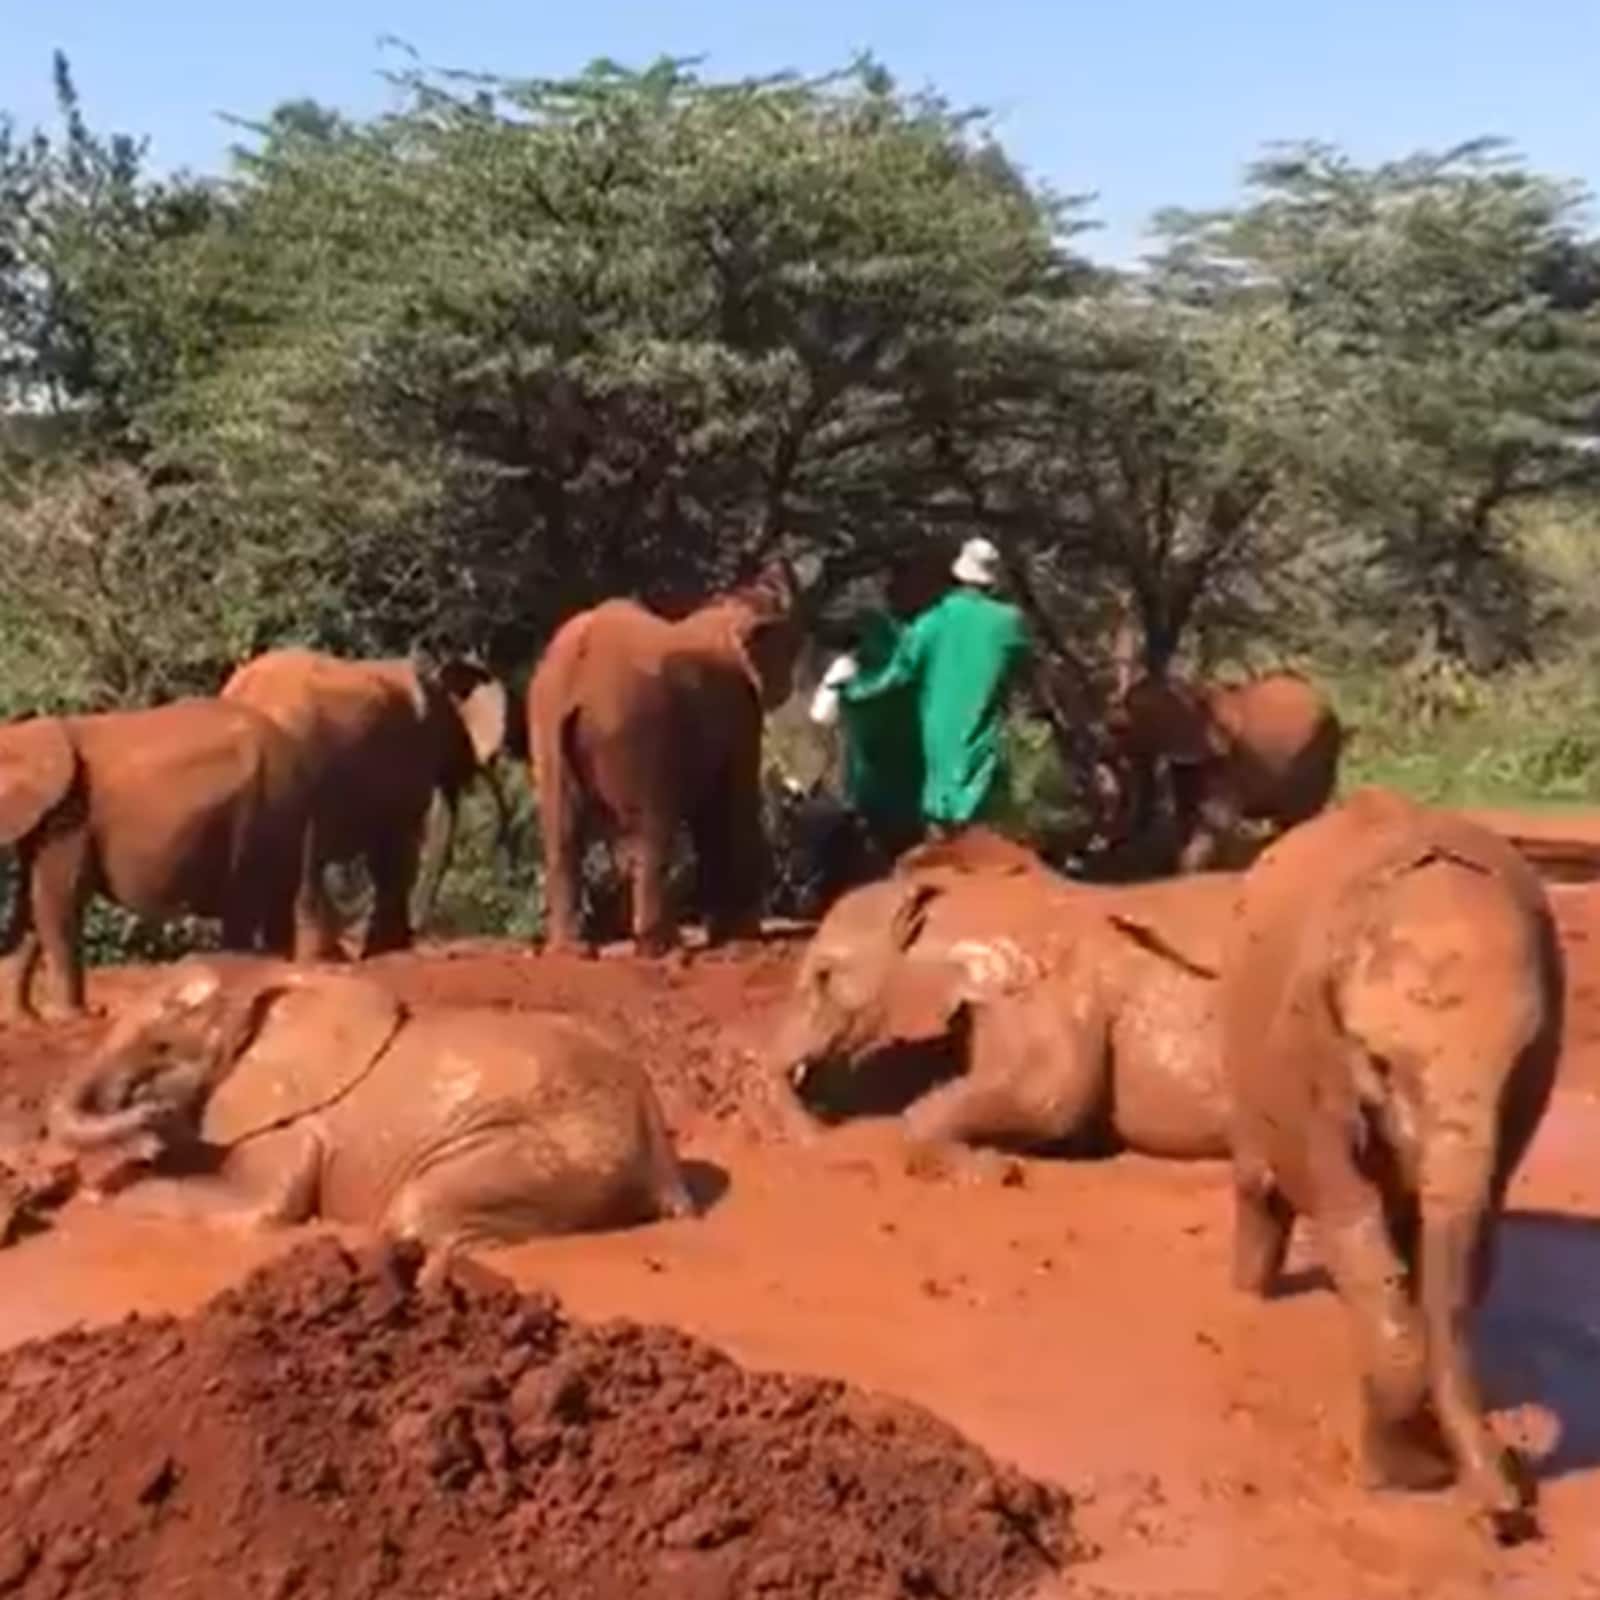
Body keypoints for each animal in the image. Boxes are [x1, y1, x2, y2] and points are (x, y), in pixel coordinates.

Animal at [0, 700, 316, 1020]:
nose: (96, 1011)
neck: (20, 733)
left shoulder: (70, 817)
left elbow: (53, 902)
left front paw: (74, 1018)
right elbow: (30, 903)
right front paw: (23, 1018)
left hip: (266, 809)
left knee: (244, 907)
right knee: (275, 905)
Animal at [49, 956, 695, 1252]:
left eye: (161, 1049)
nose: (150, 1113)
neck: (266, 975)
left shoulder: (295, 1123)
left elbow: (261, 1207)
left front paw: (98, 1194)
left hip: (558, 1152)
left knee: (420, 1212)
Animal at [529, 560, 803, 955]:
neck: (723, 614)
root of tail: (579, 670)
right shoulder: (741, 711)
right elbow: (731, 803)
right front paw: (740, 933)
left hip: (547, 724)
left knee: (562, 832)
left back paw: (574, 951)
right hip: (636, 725)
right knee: (650, 826)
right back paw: (661, 946)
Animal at [1106, 670, 1342, 873]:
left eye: (1124, 730)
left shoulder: (1225, 761)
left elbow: (1215, 820)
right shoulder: (1189, 762)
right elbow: (1186, 816)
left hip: (1319, 752)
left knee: (1298, 817)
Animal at [1219, 787, 1561, 1538]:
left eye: (1519, 1062)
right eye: (1380, 1064)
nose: (1512, 1513)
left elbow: (1466, 1257)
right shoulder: (1312, 1055)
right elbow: (1351, 1221)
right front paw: (1409, 1476)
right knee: (1259, 1187)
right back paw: (1248, 1297)